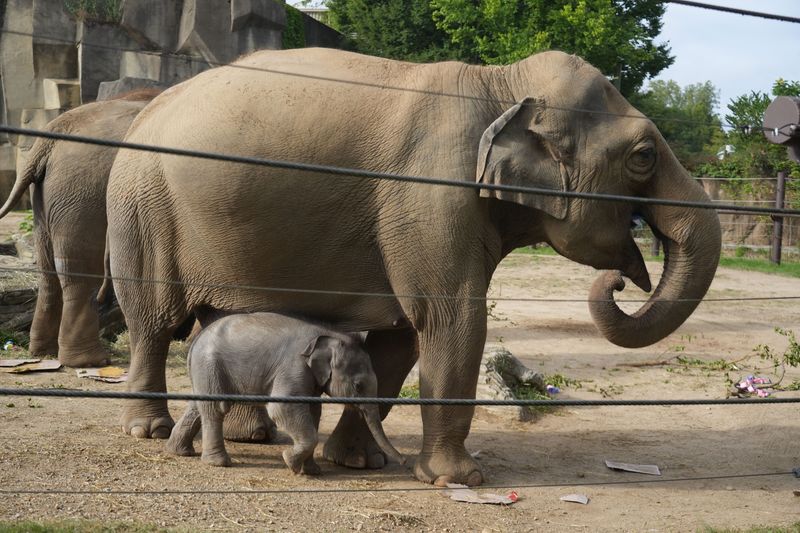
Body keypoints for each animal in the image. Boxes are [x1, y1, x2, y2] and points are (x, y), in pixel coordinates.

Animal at [165, 312, 405, 474]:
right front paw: (290, 461)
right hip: (210, 364)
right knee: (216, 408)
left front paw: (312, 471)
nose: (402, 462)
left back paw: (180, 451)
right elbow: (282, 407)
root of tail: (195, 341)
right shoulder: (294, 366)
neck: (329, 335)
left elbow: (314, 411)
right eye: (358, 386)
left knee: (198, 406)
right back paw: (219, 462)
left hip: (206, 370)